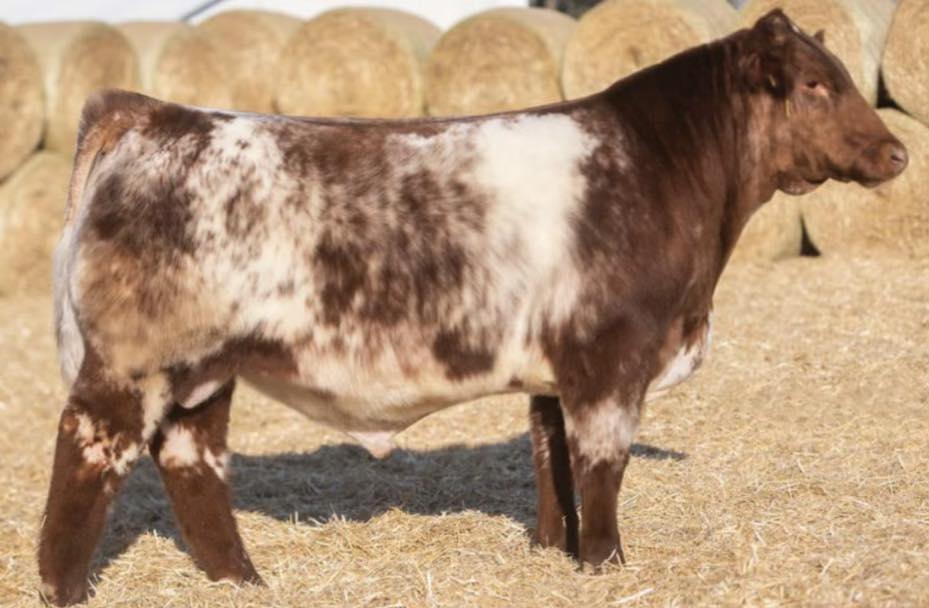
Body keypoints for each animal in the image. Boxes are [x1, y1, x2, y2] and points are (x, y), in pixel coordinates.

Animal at [38, 10, 907, 605]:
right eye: (815, 84)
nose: (896, 151)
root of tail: (153, 111)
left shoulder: (556, 375)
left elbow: (551, 466)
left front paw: (556, 556)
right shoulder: (610, 360)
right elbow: (600, 470)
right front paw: (607, 565)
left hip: (205, 372)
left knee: (192, 463)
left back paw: (243, 582)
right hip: (129, 368)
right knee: (86, 461)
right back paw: (64, 588)